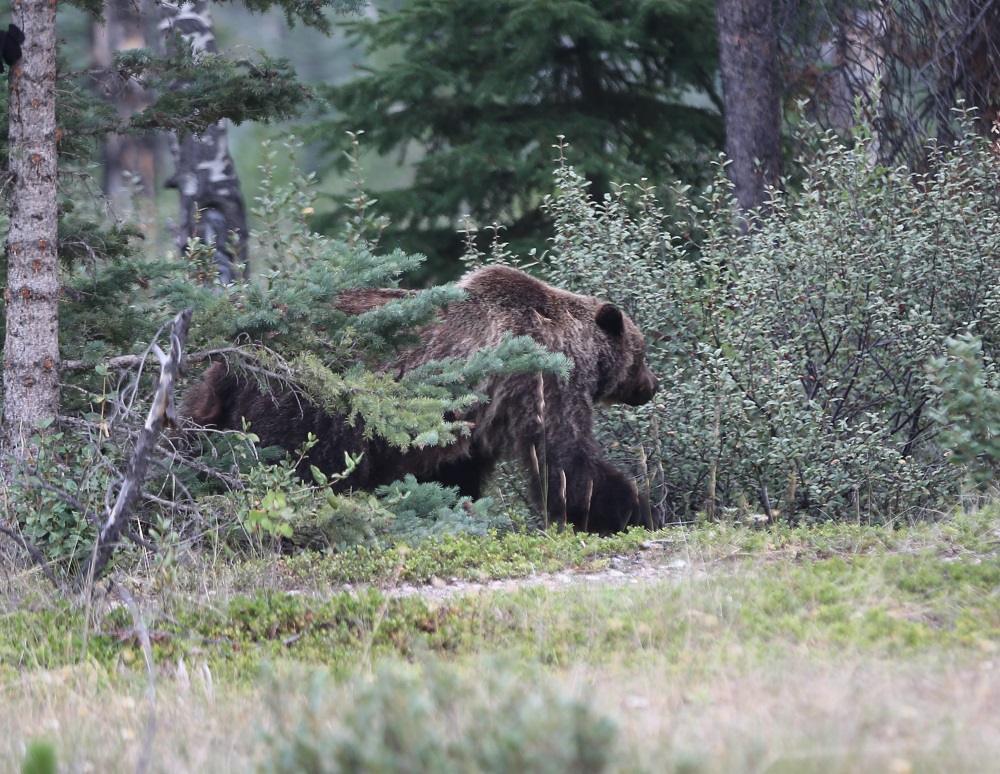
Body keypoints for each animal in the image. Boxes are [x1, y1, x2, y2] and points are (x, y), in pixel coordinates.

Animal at [181, 265, 659, 534]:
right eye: (643, 353)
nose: (651, 386)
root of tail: (230, 360)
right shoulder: (541, 379)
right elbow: (565, 460)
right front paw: (631, 511)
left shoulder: (469, 421)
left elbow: (451, 473)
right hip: (306, 407)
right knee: (301, 467)